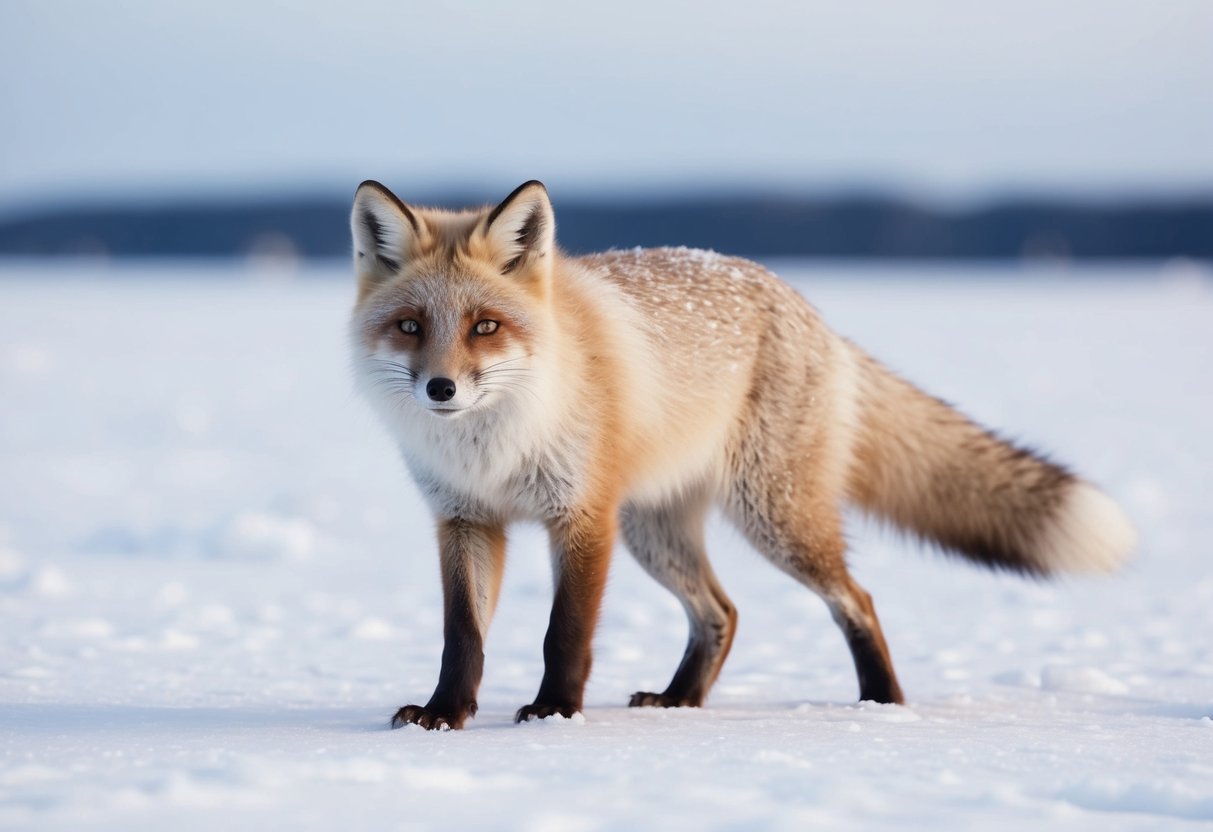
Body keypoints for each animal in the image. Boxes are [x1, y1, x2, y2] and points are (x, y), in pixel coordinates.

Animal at [348, 179, 1137, 730]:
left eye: (485, 326)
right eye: (411, 326)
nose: (441, 388)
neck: (494, 444)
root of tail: (808, 308)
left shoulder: (582, 517)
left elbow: (563, 633)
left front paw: (555, 713)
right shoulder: (465, 519)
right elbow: (462, 635)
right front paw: (444, 714)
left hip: (773, 521)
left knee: (856, 600)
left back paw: (881, 706)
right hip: (657, 532)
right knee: (721, 613)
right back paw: (680, 699)